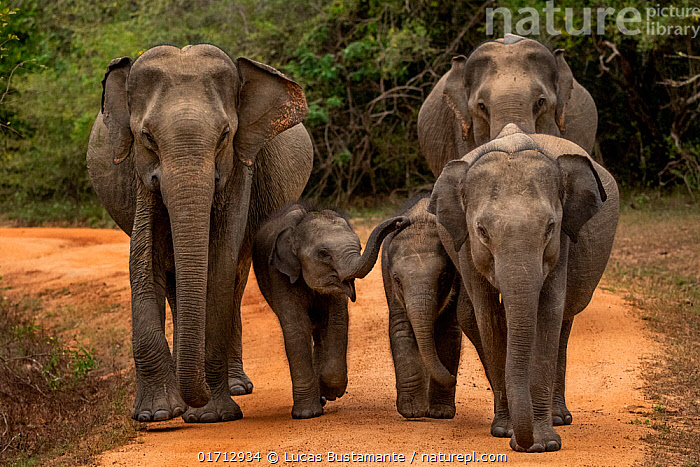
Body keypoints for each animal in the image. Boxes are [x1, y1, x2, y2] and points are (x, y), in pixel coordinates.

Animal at [86, 44, 313, 423]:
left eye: (224, 136)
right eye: (147, 137)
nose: (197, 395)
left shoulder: (240, 166)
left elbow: (219, 263)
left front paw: (211, 415)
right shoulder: (140, 174)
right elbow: (144, 259)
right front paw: (157, 415)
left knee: (234, 280)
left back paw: (235, 387)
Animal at [253, 203, 409, 418]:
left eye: (360, 247)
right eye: (324, 253)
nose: (401, 222)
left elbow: (337, 321)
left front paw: (330, 392)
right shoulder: (279, 274)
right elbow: (296, 328)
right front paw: (307, 414)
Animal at [381, 195, 464, 420]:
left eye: (443, 278)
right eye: (397, 280)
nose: (453, 377)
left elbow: (448, 332)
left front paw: (441, 413)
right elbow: (401, 329)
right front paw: (412, 412)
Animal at [428, 124, 619, 452]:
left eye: (550, 227)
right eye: (481, 231)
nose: (523, 443)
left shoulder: (563, 244)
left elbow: (549, 314)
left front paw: (545, 444)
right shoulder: (465, 247)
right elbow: (489, 317)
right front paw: (505, 431)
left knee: (564, 322)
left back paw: (558, 418)